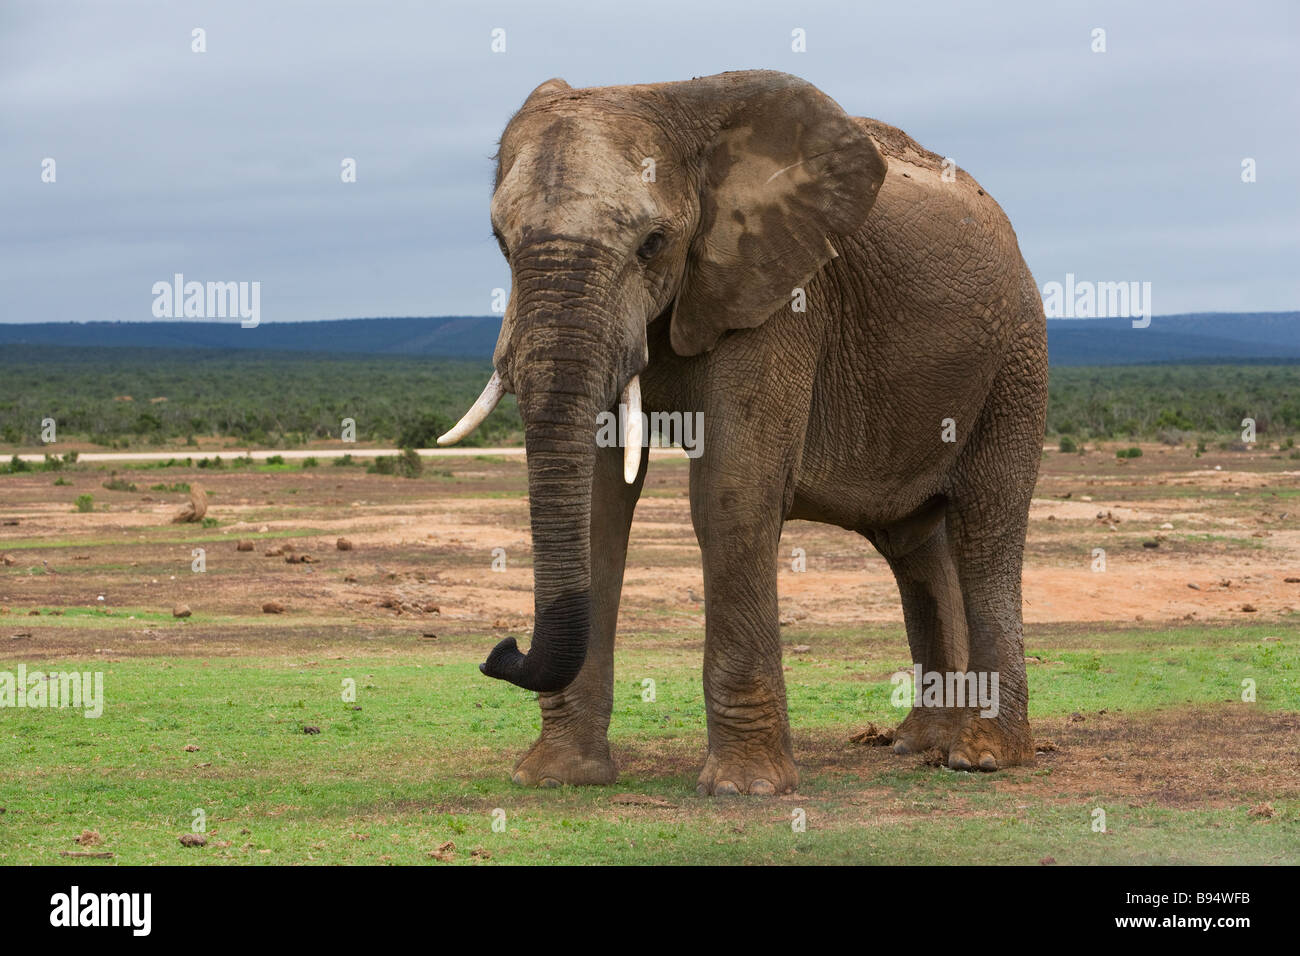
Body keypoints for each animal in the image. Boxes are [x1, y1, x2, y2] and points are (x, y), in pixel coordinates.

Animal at [440, 70, 1047, 795]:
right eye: (502, 243)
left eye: (652, 243)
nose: (502, 650)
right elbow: (600, 509)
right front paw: (556, 777)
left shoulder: (780, 293)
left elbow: (732, 495)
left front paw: (743, 789)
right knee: (913, 547)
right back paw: (917, 744)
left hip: (1016, 357)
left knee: (987, 527)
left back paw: (982, 757)